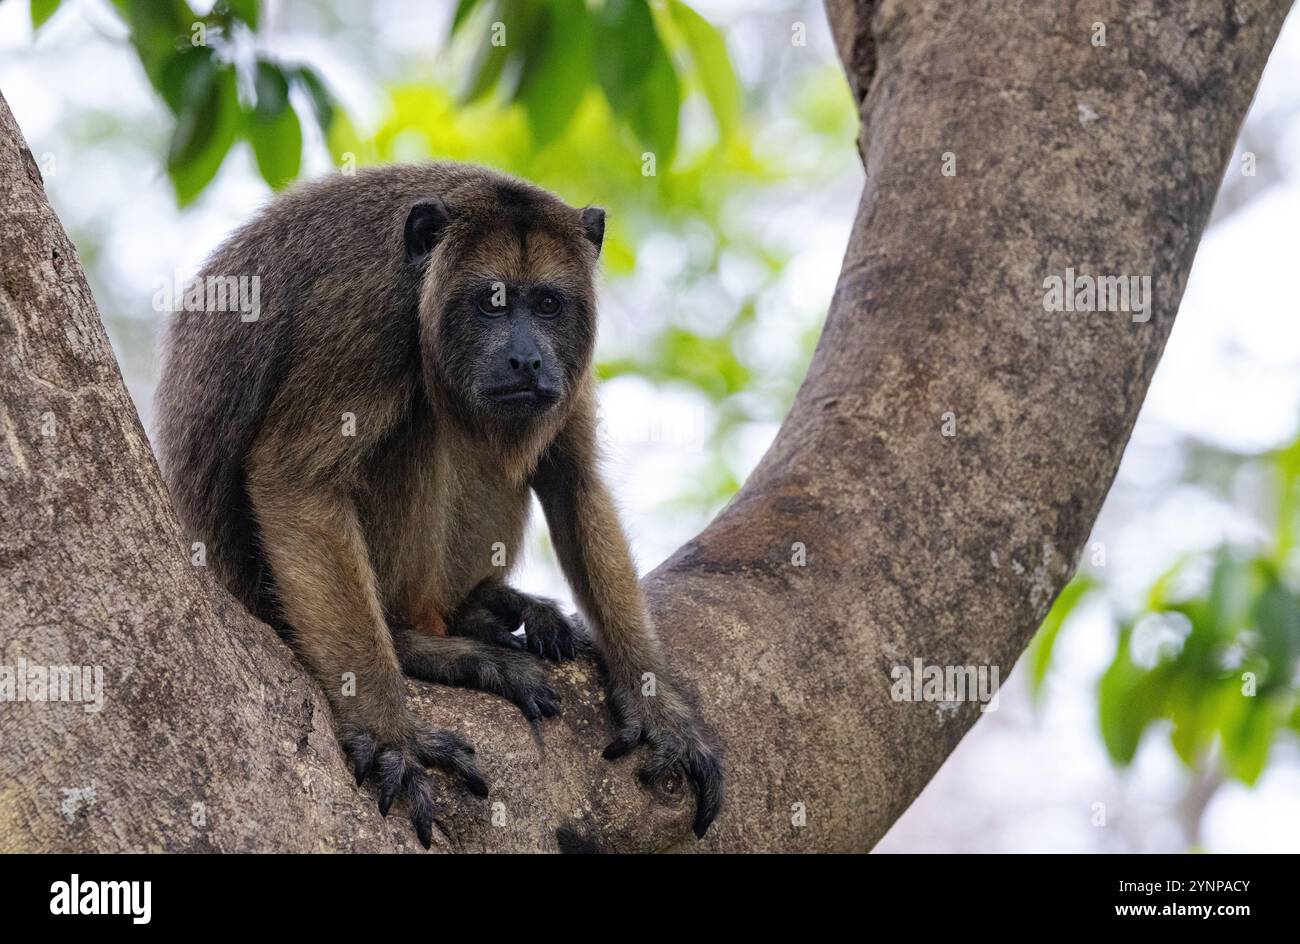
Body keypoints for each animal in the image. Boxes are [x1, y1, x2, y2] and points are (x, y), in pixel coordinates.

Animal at [155, 162, 722, 847]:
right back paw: (418, 643)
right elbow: (298, 482)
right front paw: (391, 735)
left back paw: (482, 607)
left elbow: (574, 480)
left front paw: (657, 705)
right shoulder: (367, 315)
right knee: (422, 419)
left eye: (549, 304)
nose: (527, 358)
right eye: (491, 301)